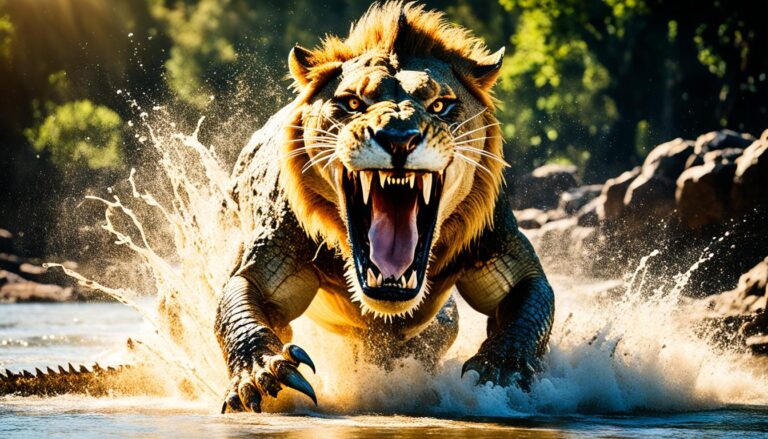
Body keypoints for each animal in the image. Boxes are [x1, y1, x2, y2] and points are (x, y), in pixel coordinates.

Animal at [216, 1, 555, 412]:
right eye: (352, 103)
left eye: (440, 105)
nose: (398, 138)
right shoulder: (268, 258)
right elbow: (240, 306)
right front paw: (262, 375)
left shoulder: (501, 244)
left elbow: (528, 304)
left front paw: (503, 372)